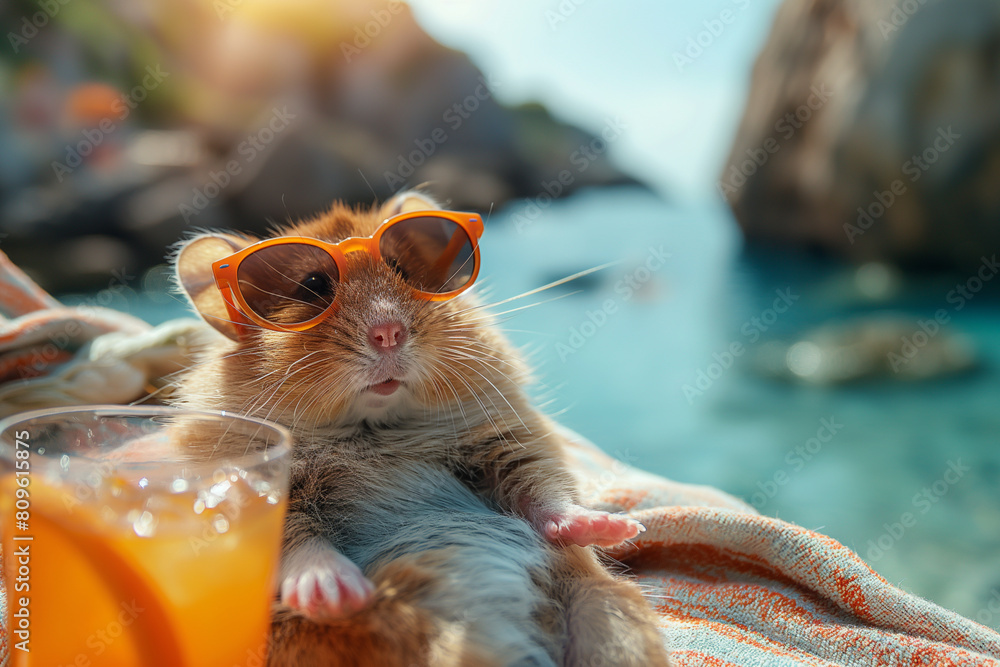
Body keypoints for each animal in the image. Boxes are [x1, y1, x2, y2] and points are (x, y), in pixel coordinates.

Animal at [172, 191, 670, 667]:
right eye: (313, 286)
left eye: (402, 269)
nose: (389, 333)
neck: (373, 428)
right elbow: (297, 542)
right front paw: (336, 595)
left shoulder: (508, 441)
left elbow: (544, 493)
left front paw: (616, 528)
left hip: (606, 614)